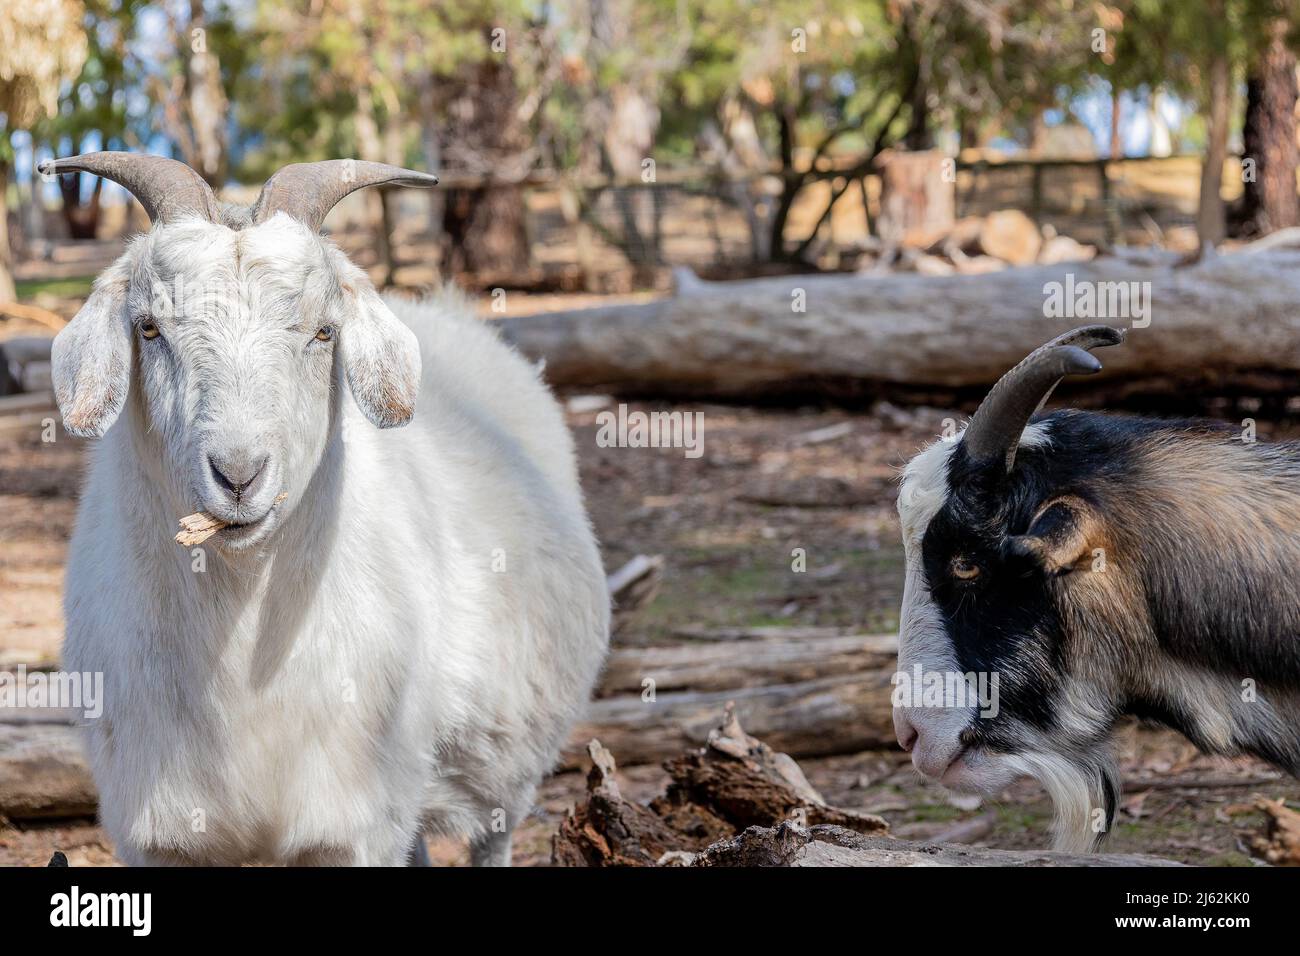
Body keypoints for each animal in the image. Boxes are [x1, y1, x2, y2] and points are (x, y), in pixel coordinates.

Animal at [41, 151, 608, 868]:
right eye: (150, 327)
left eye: (323, 331)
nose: (239, 474)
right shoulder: (159, 831)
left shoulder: (353, 822)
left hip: (502, 770)